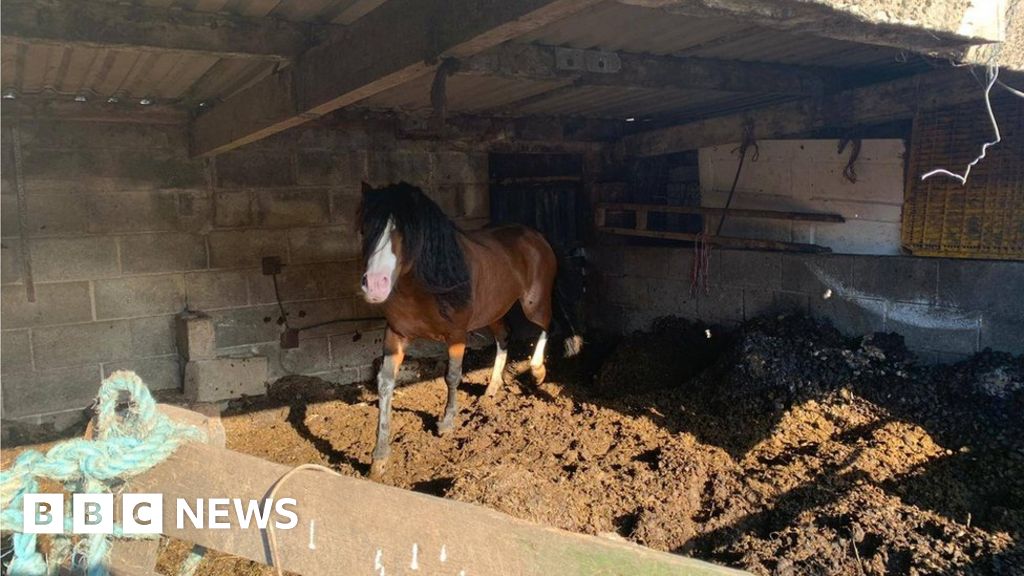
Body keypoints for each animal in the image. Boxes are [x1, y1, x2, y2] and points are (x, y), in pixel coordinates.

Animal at [358, 181, 581, 479]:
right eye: (365, 228)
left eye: (406, 231)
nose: (375, 285)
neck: (427, 285)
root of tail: (536, 236)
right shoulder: (395, 335)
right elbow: (384, 383)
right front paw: (379, 457)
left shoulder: (456, 336)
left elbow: (452, 376)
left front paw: (447, 423)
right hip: (494, 310)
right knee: (504, 336)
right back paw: (493, 386)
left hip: (534, 302)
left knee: (548, 326)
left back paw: (537, 372)